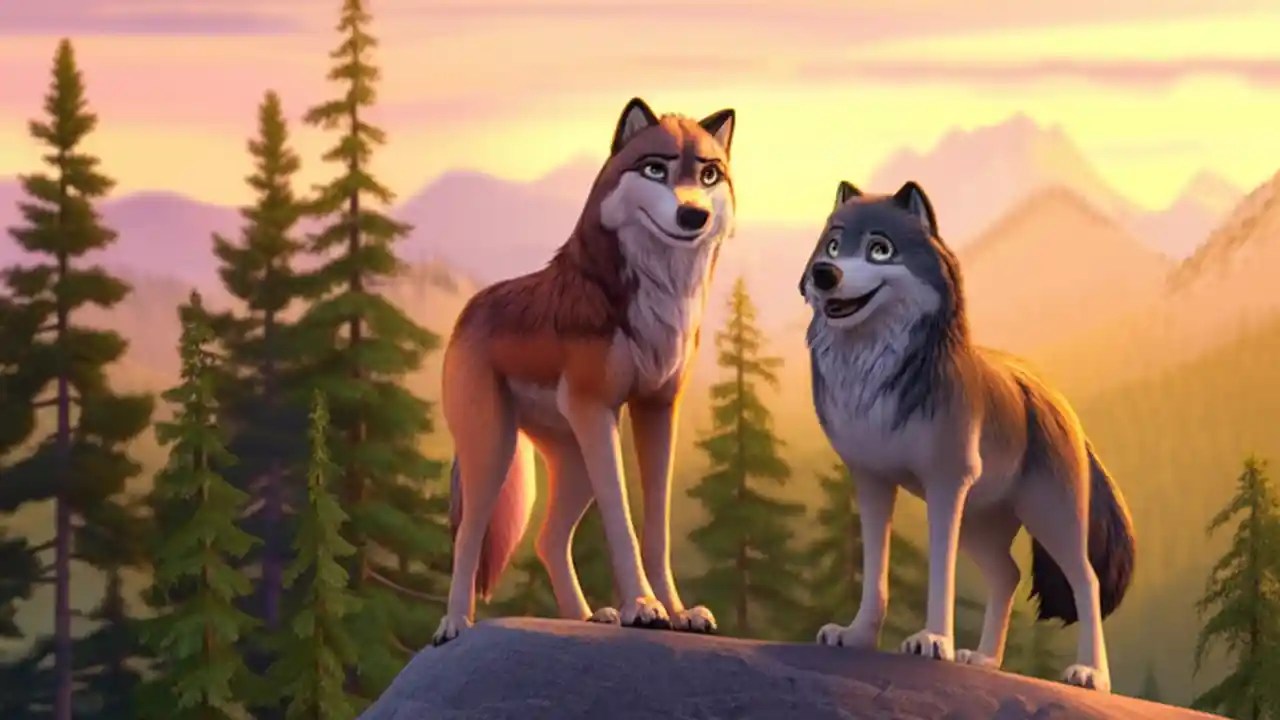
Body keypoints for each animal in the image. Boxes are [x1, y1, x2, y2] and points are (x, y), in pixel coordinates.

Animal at [432, 97, 736, 645]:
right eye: (655, 169)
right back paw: (454, 624)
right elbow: (623, 524)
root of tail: (471, 306)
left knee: (548, 540)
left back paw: (587, 617)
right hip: (495, 451)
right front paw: (643, 606)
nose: (693, 215)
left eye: (708, 174)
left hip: (573, 467)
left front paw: (678, 612)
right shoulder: (597, 411)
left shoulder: (658, 409)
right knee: (468, 536)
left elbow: (656, 530)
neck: (657, 296)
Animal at [801, 180, 1136, 693]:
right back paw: (982, 661)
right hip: (983, 523)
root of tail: (1062, 402)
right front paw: (857, 637)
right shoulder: (872, 481)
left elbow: (941, 569)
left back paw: (1090, 674)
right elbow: (874, 571)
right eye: (833, 246)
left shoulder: (946, 484)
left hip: (1051, 516)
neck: (873, 377)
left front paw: (932, 641)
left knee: (1087, 580)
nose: (824, 274)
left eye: (880, 249)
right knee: (1008, 576)